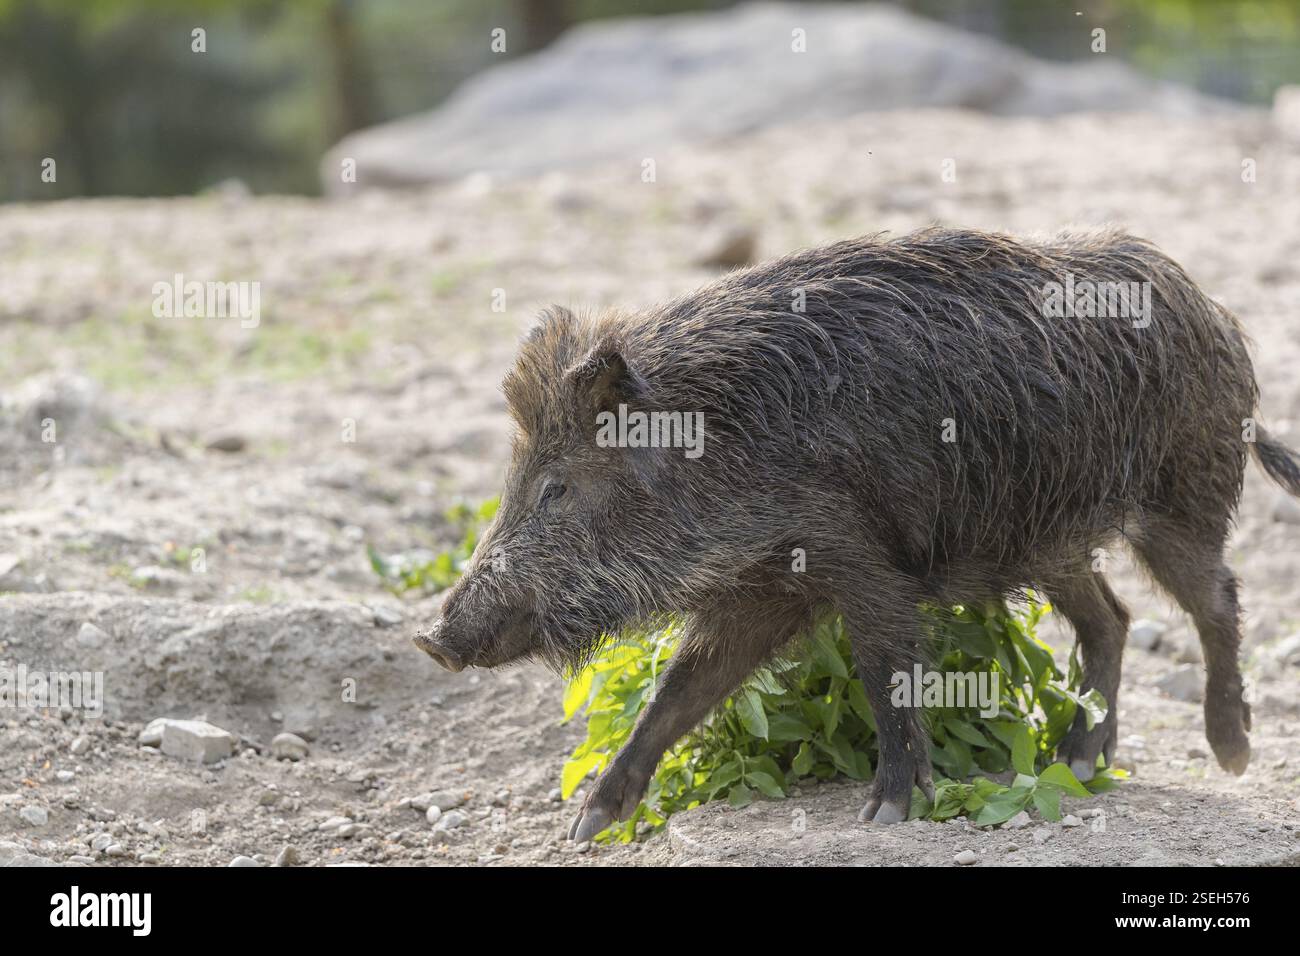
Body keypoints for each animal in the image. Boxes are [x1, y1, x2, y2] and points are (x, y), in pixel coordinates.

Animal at [415, 227, 1300, 841]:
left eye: (557, 486)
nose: (433, 637)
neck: (726, 455)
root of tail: (1218, 313)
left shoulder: (861, 562)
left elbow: (884, 676)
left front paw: (886, 813)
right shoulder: (760, 589)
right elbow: (679, 694)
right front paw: (588, 826)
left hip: (1181, 498)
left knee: (1217, 599)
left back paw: (1231, 754)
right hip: (1048, 539)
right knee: (1110, 618)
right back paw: (1078, 762)